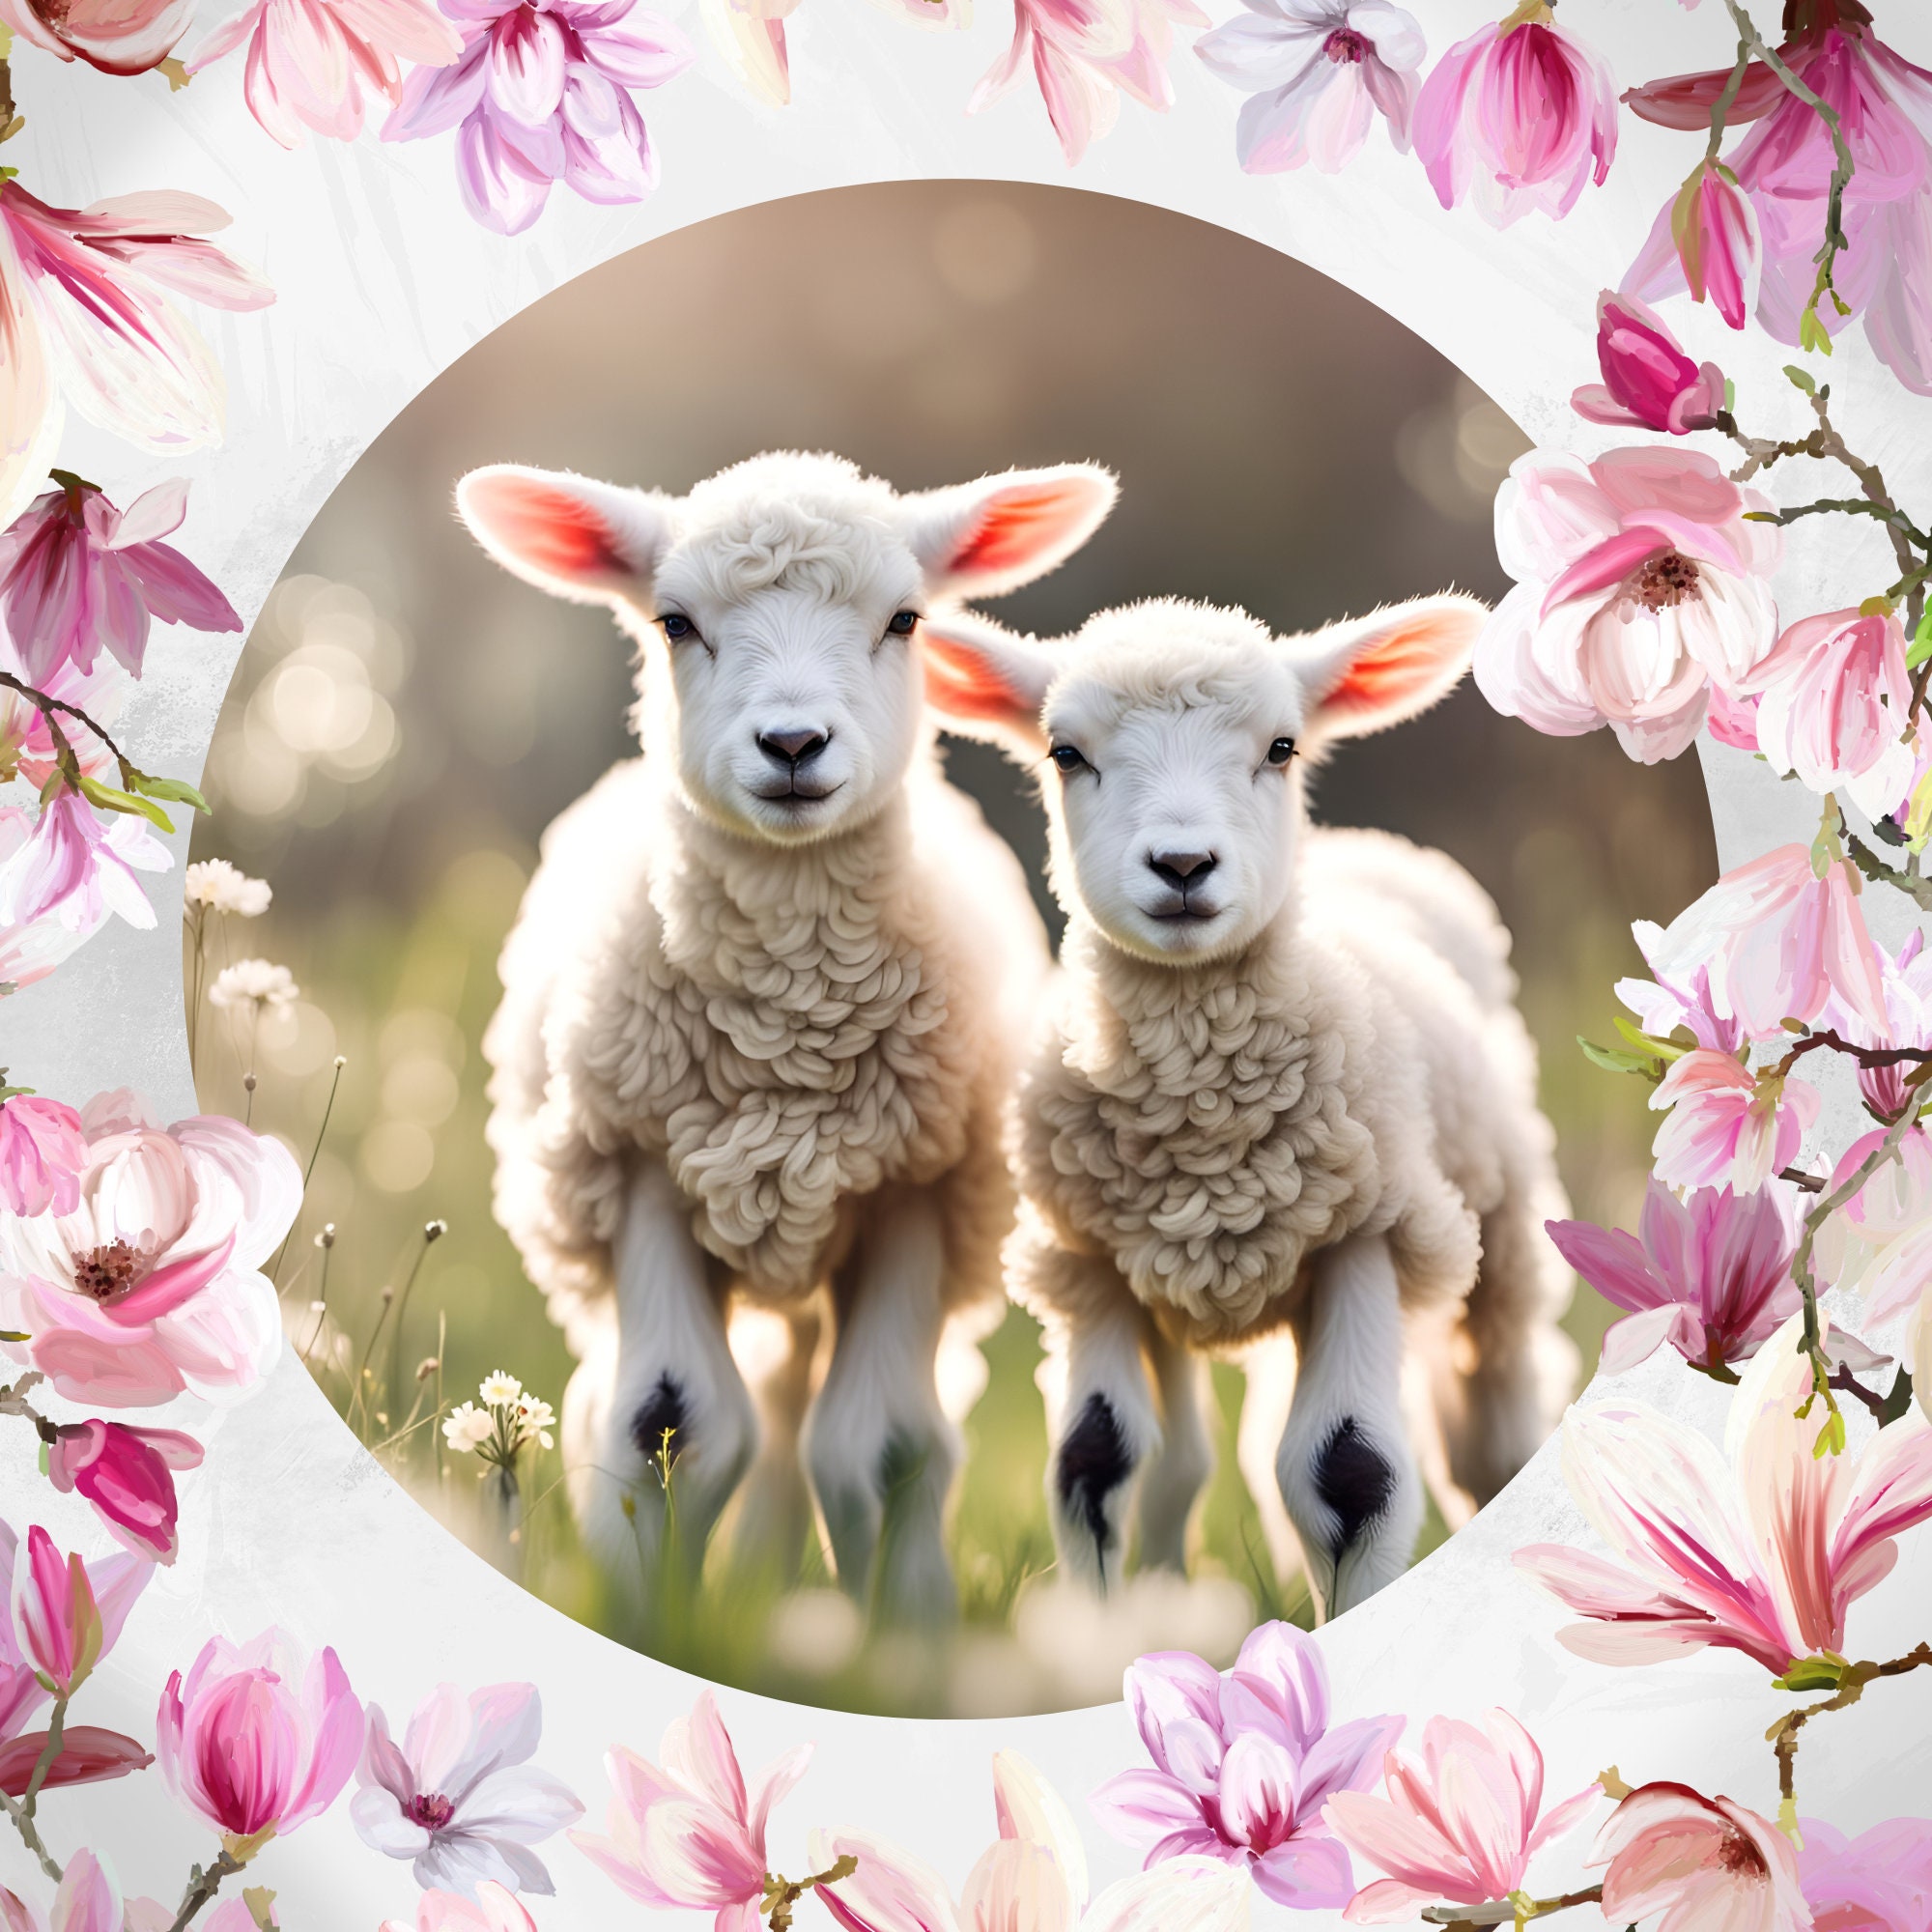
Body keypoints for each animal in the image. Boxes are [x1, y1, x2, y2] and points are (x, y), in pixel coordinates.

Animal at [457, 450, 1116, 1621]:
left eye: (905, 619)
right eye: (675, 622)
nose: (794, 744)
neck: (789, 1036)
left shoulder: (918, 1183)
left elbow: (880, 1443)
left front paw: (899, 1633)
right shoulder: (639, 1164)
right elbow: (666, 1419)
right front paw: (655, 1617)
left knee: (792, 1408)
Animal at [916, 593, 1578, 1619]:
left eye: (1281, 747)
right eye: (1065, 753)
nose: (1184, 864)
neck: (1203, 1130)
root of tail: (1366, 852)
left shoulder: (1368, 1232)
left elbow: (1350, 1471)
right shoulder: (1088, 1259)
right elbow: (1094, 1463)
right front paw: (1099, 1629)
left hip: (1497, 1235)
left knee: (1492, 1434)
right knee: (1187, 1461)